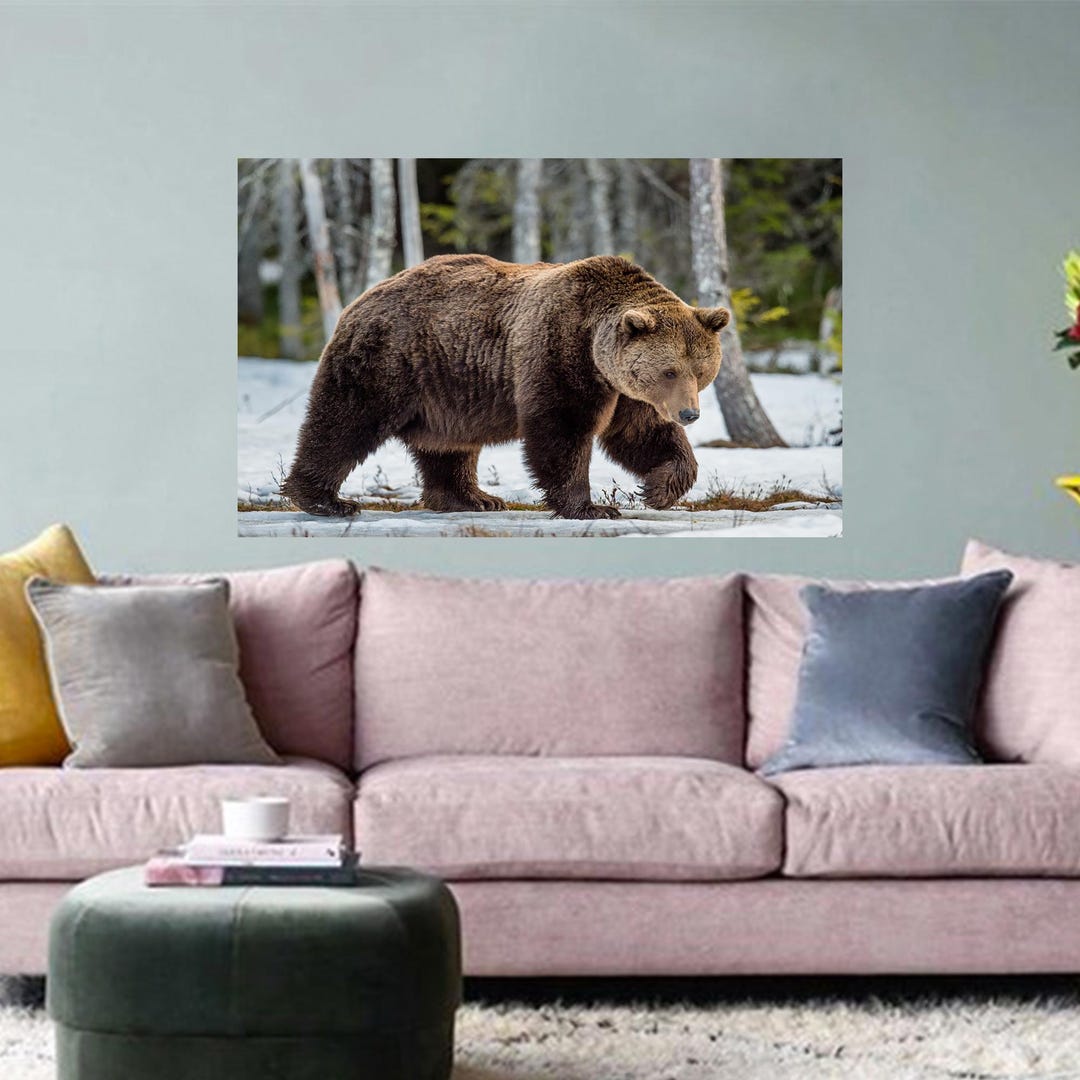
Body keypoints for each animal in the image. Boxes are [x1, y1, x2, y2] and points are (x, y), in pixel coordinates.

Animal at [282, 253, 730, 520]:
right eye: (669, 370)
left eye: (700, 370)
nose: (689, 413)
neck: (594, 347)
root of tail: (361, 298)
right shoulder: (559, 354)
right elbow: (562, 430)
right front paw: (591, 507)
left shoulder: (624, 391)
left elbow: (642, 434)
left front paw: (658, 489)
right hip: (388, 361)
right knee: (345, 422)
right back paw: (327, 500)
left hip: (446, 390)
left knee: (447, 447)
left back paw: (473, 498)